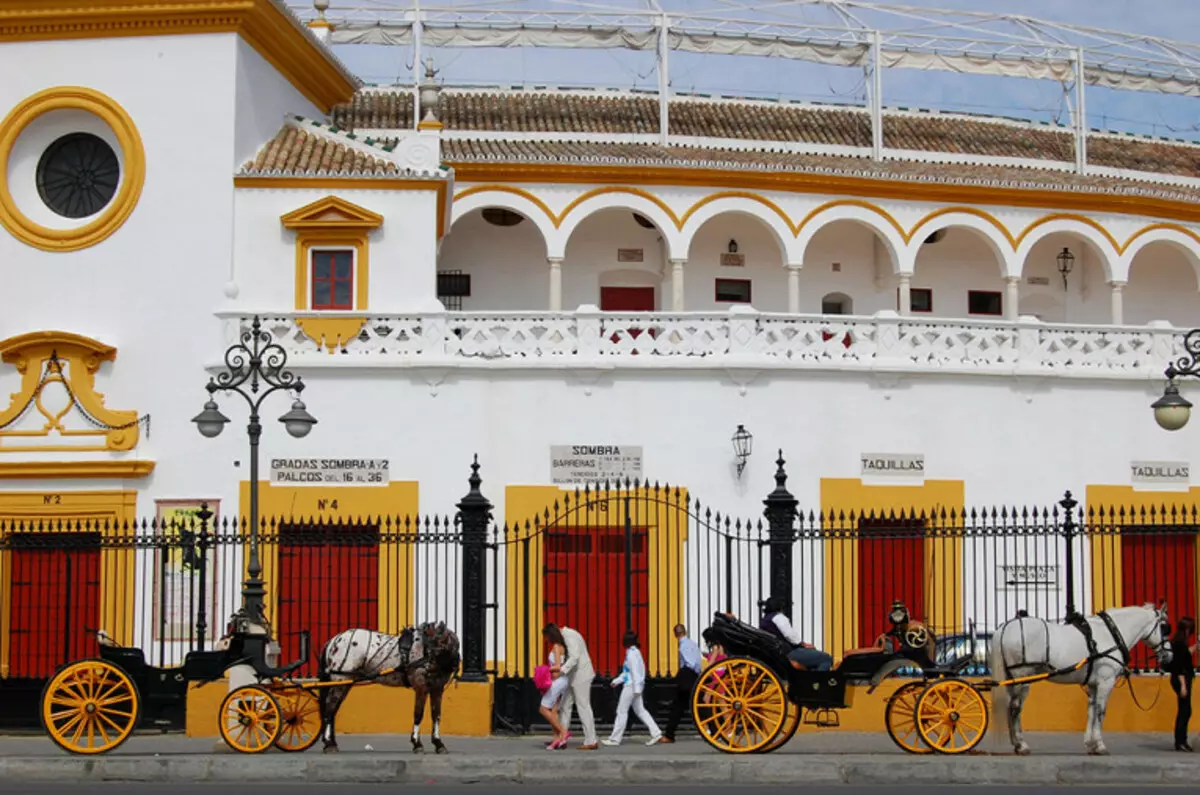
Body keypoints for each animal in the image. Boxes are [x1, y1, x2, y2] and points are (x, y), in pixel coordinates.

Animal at [993, 605, 1171, 758]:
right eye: (1165, 627)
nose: (1169, 656)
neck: (1110, 634)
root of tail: (1004, 628)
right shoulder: (1105, 682)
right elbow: (1101, 712)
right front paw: (1100, 745)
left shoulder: (1093, 685)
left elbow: (1091, 711)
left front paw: (1091, 745)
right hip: (1022, 677)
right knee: (1015, 708)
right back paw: (1021, 745)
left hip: (1011, 679)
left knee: (1010, 707)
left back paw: (1016, 743)